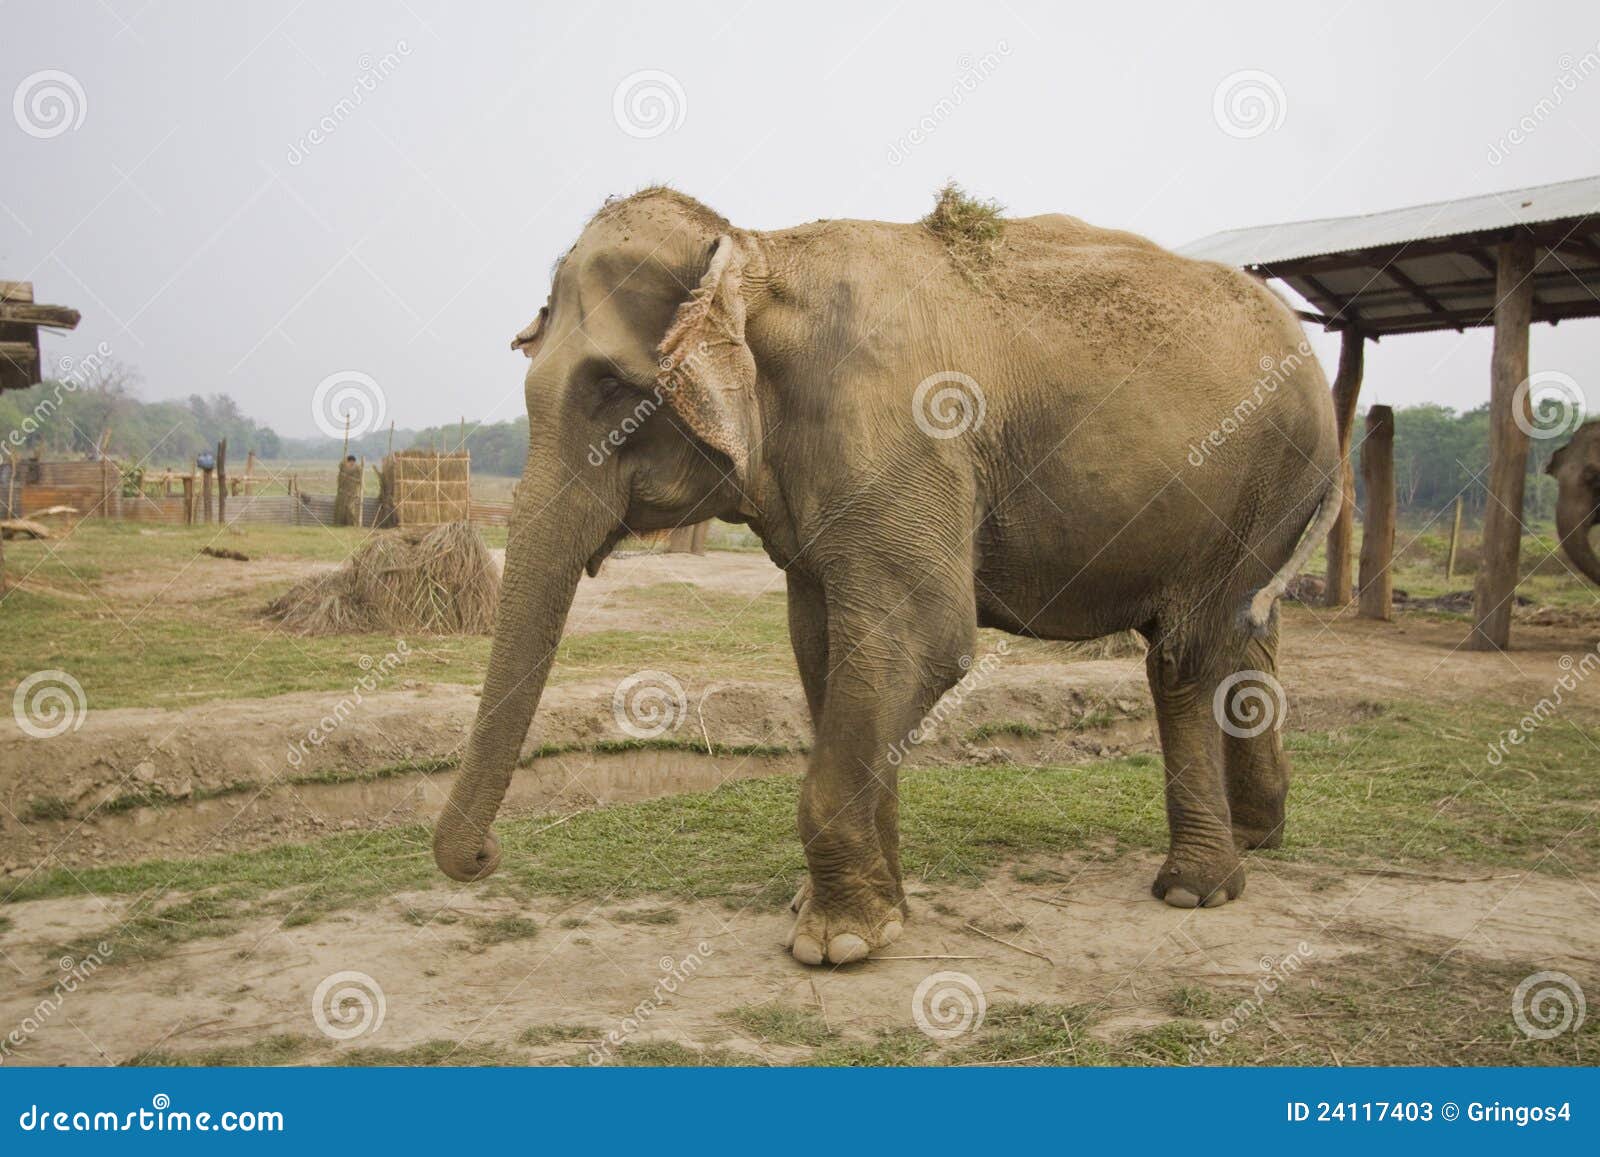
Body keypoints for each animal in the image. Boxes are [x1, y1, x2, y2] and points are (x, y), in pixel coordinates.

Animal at [432, 187, 1342, 965]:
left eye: (611, 391)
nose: (483, 856)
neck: (760, 253)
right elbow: (826, 649)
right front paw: (873, 914)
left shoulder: (902, 436)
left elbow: (924, 637)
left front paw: (832, 944)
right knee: (1245, 635)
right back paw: (1257, 837)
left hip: (1254, 481)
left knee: (1184, 657)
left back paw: (1195, 888)